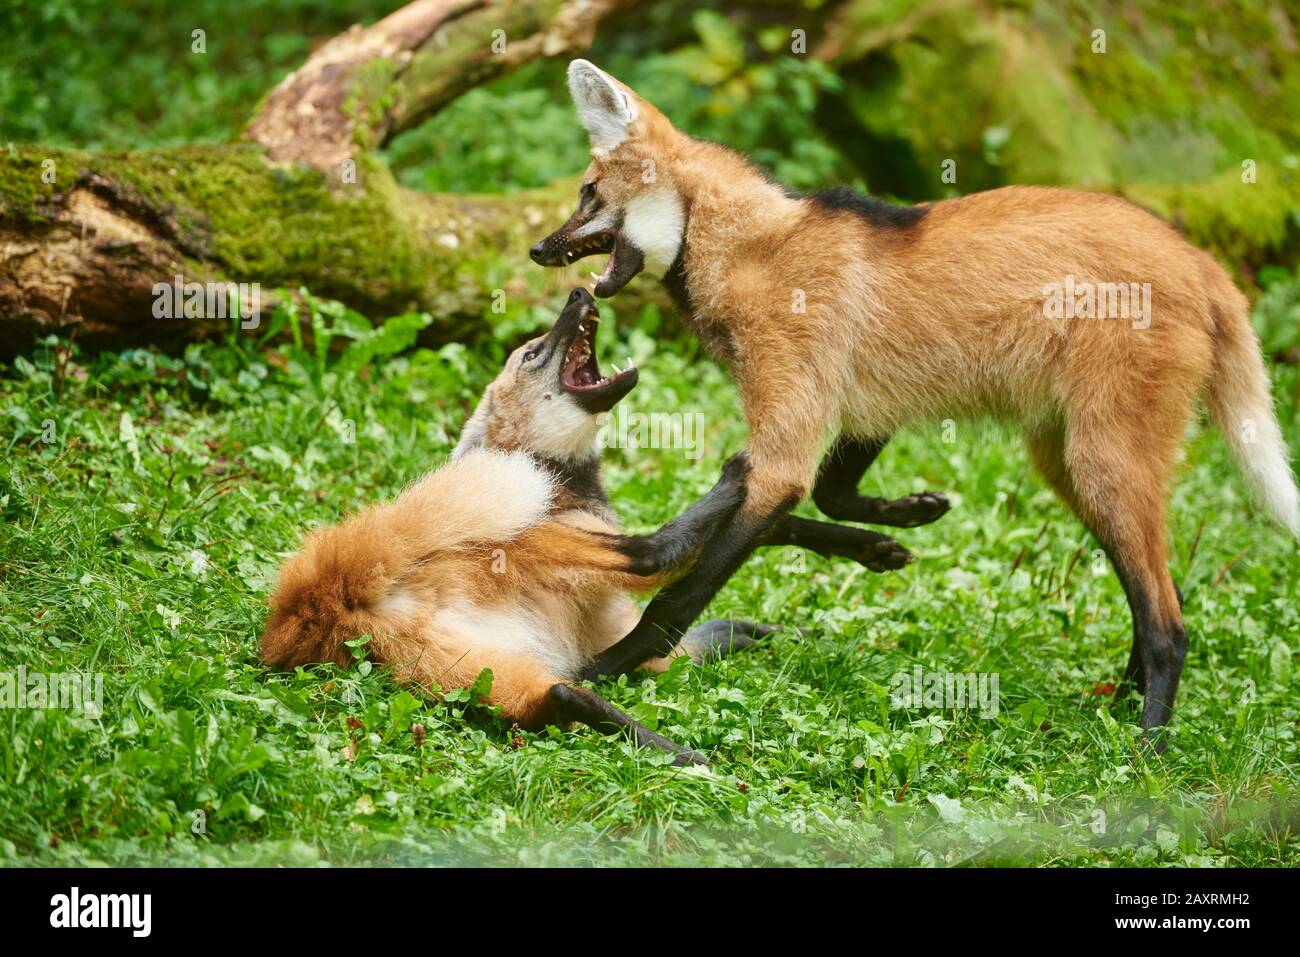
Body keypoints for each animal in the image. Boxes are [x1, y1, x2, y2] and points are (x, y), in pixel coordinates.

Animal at [262, 288, 907, 764]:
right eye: (531, 354)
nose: (579, 291)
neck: (566, 479)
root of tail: (321, 599)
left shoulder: (623, 637)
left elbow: (757, 552)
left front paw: (875, 542)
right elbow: (703, 561)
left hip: (470, 670)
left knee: (563, 690)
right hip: (526, 579)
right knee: (645, 560)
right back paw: (692, 757)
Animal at [530, 60, 1299, 735]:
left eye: (588, 194)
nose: (540, 249)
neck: (739, 245)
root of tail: (1198, 258)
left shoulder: (786, 440)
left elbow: (681, 594)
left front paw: (603, 669)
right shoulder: (865, 402)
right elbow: (831, 492)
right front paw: (904, 521)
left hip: (1102, 457)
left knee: (1170, 623)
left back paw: (1146, 749)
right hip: (1069, 461)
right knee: (1158, 597)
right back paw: (1120, 702)